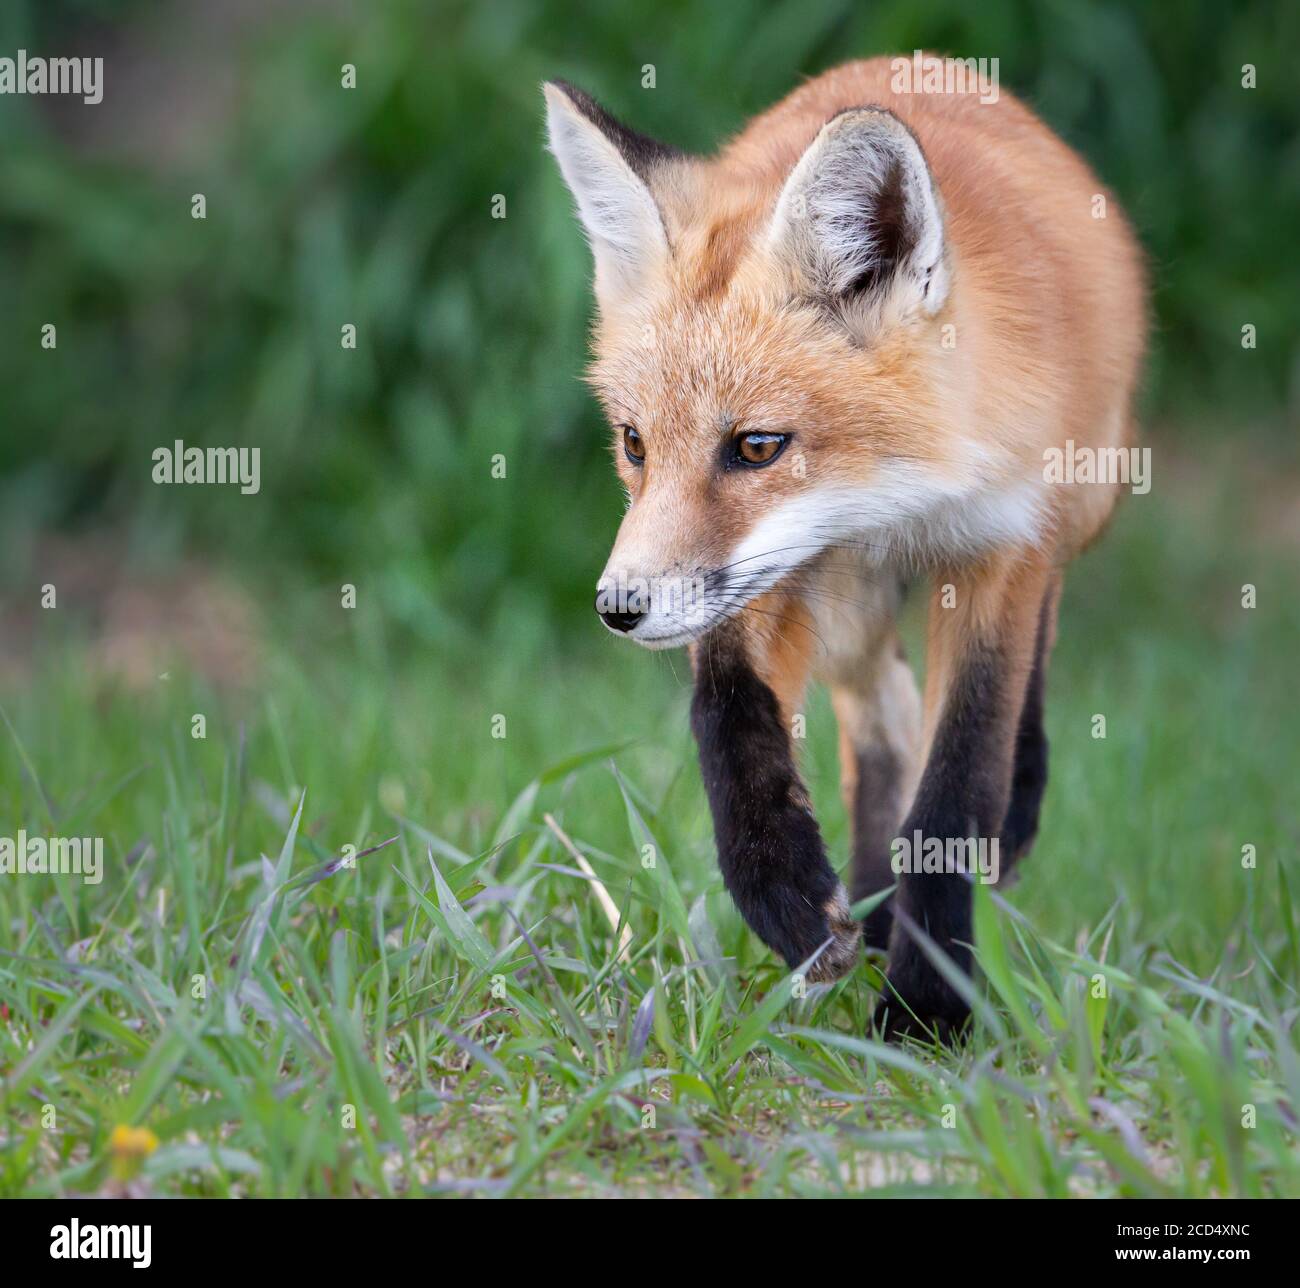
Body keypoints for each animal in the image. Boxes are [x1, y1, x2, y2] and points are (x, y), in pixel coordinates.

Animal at [543, 57, 1146, 1039]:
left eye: (756, 446)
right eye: (635, 444)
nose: (618, 608)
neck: (891, 500)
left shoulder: (1002, 549)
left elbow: (958, 781)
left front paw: (927, 1011)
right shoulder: (775, 578)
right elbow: (728, 720)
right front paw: (792, 901)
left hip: (1083, 502)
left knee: (1021, 657)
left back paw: (1004, 816)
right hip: (853, 612)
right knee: (883, 717)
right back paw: (869, 908)